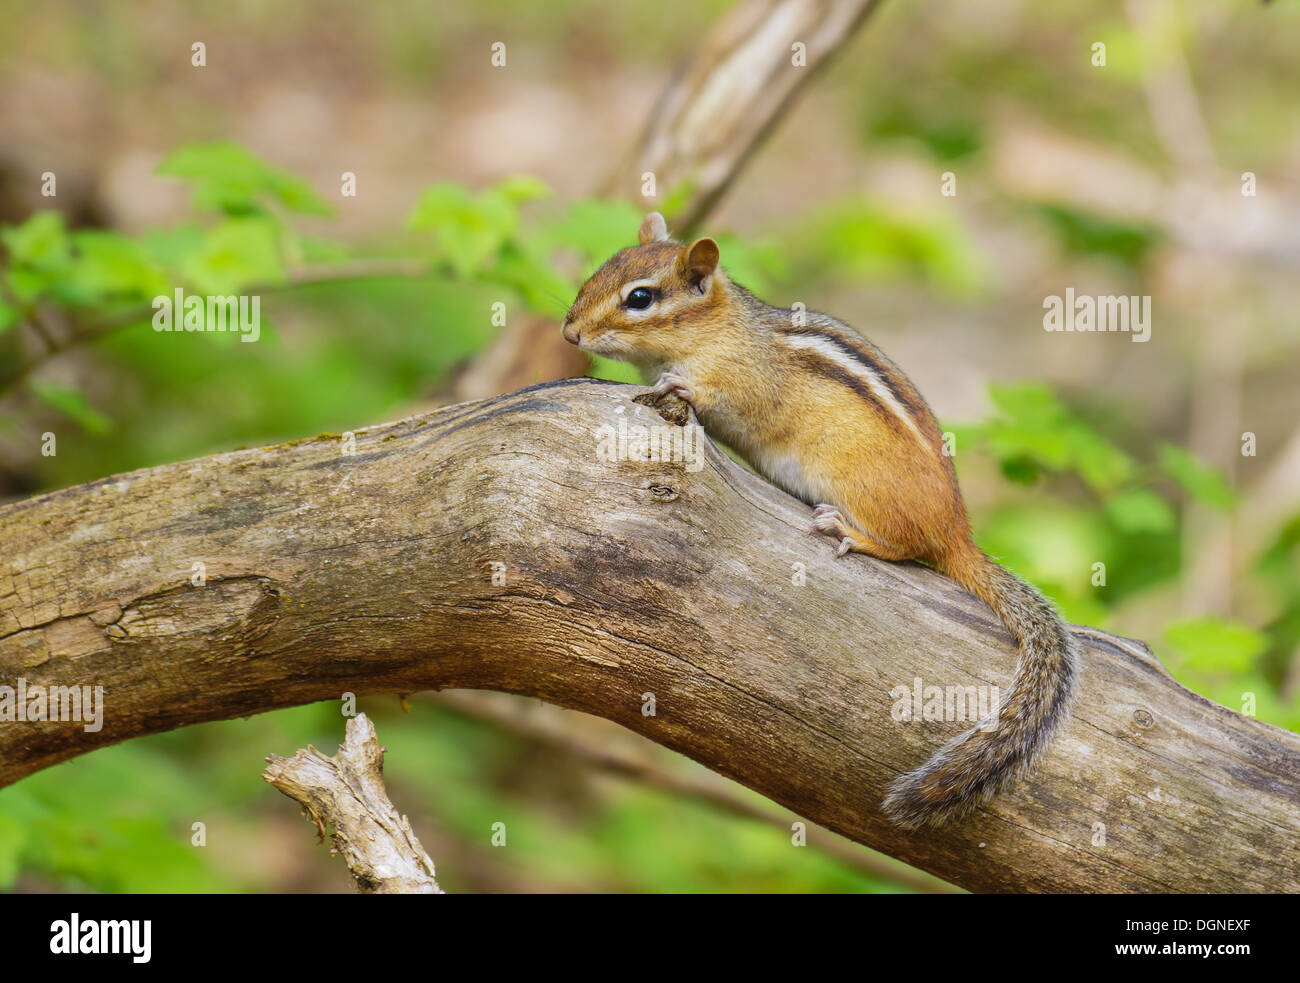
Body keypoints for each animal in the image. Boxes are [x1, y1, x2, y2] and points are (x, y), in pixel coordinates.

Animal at [560, 211, 1078, 829]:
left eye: (640, 298)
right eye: (602, 267)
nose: (570, 334)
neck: (724, 327)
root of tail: (958, 533)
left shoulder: (745, 381)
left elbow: (719, 393)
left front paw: (678, 385)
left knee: (907, 548)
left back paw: (851, 533)